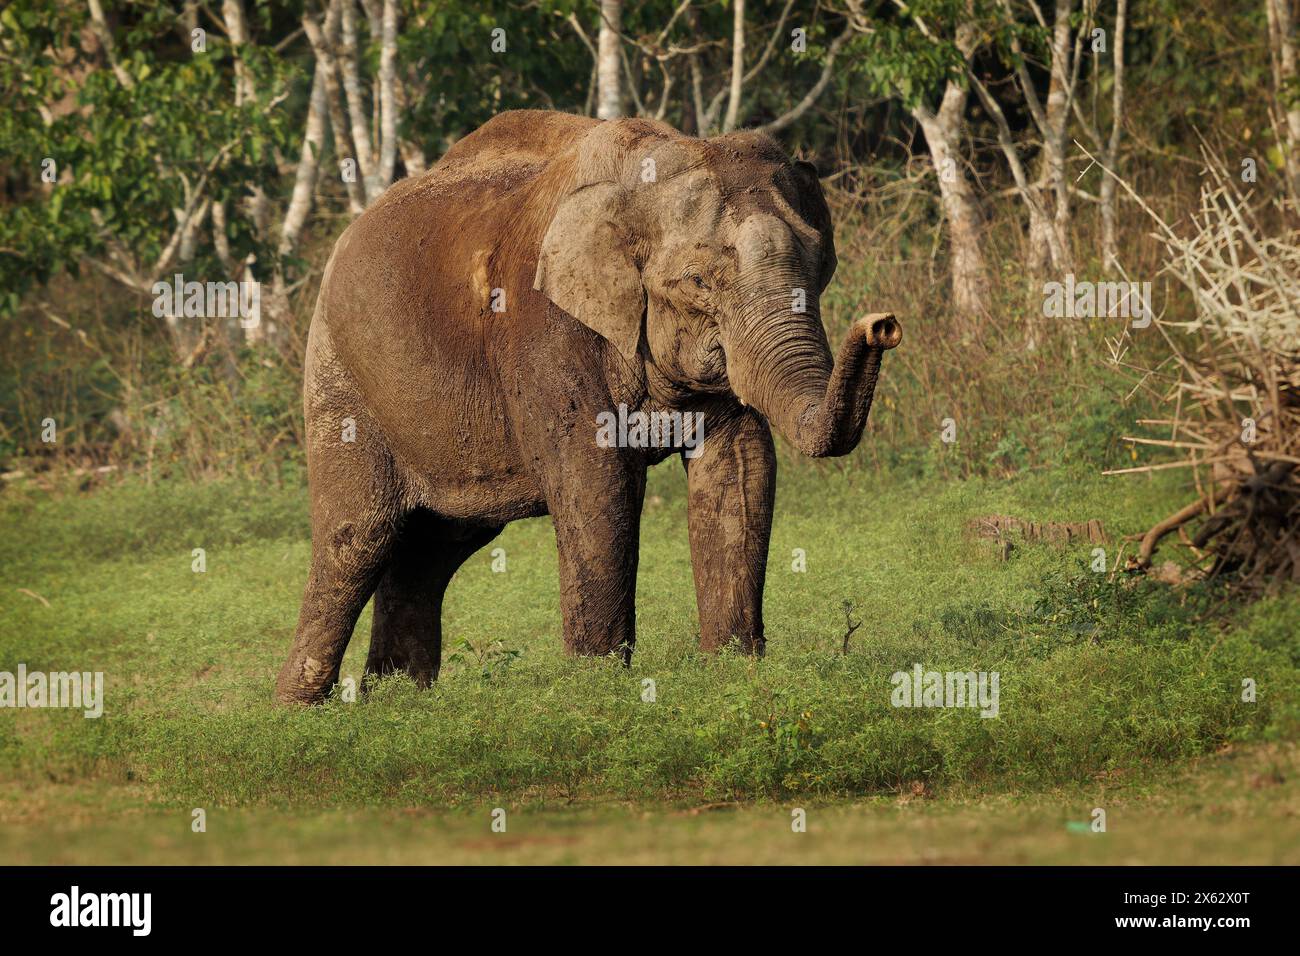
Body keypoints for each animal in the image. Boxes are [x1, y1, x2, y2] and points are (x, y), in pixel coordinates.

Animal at [275, 109, 901, 704]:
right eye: (698, 281)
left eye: (820, 267)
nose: (884, 325)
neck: (645, 167)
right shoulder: (548, 331)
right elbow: (596, 482)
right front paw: (599, 685)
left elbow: (740, 466)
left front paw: (734, 670)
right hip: (339, 372)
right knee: (358, 538)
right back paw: (299, 709)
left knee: (432, 549)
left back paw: (397, 699)